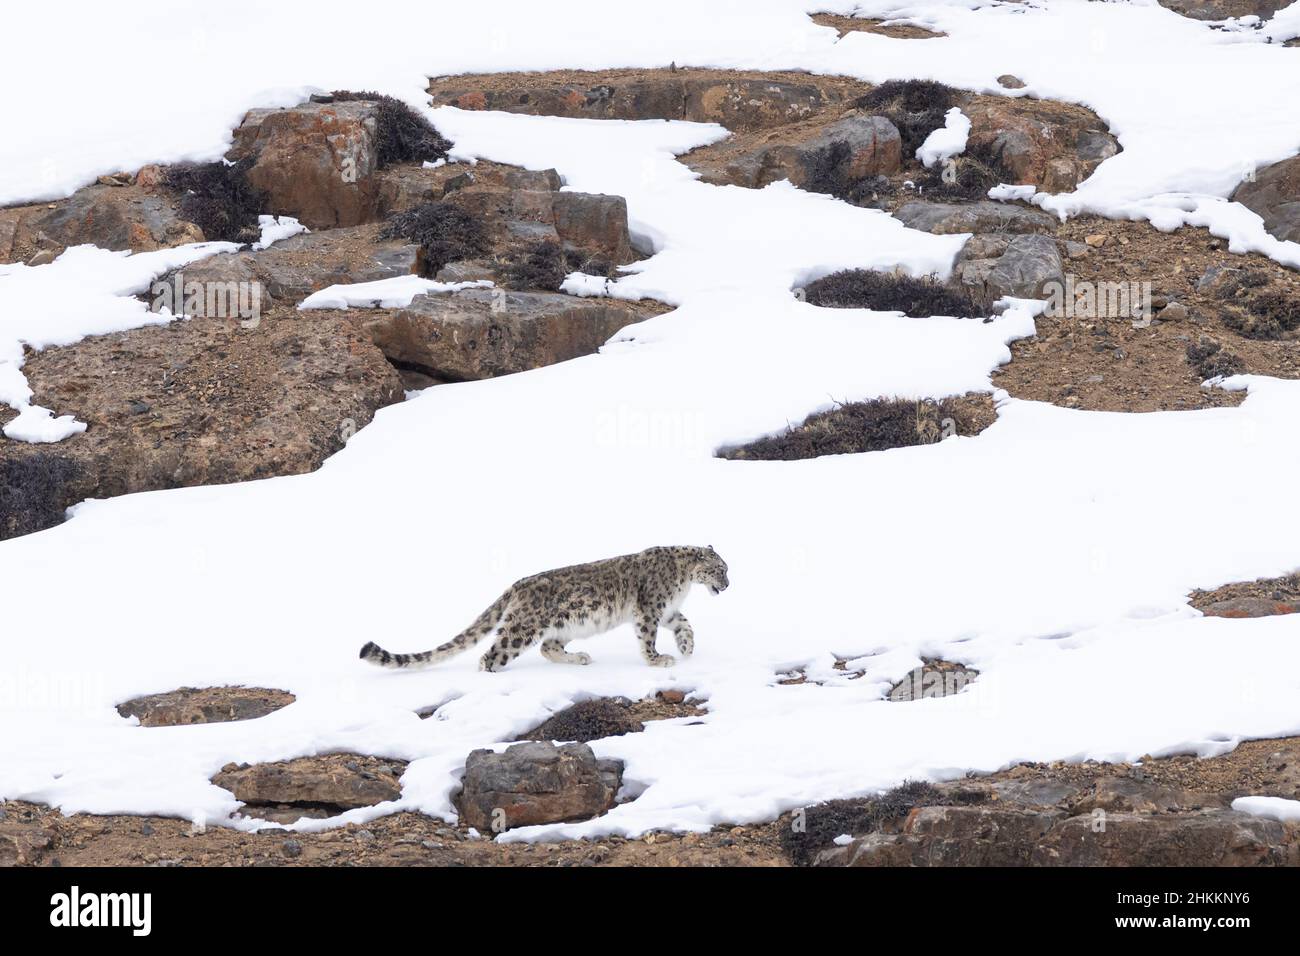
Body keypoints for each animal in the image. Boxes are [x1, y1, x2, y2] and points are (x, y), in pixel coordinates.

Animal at [359, 545, 729, 672]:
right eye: (720, 569)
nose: (727, 585)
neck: (683, 580)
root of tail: (517, 585)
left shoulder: (668, 610)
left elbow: (685, 623)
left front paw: (686, 647)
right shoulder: (650, 609)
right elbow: (648, 637)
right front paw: (658, 660)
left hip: (565, 624)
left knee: (549, 648)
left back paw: (579, 658)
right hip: (522, 629)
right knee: (492, 654)